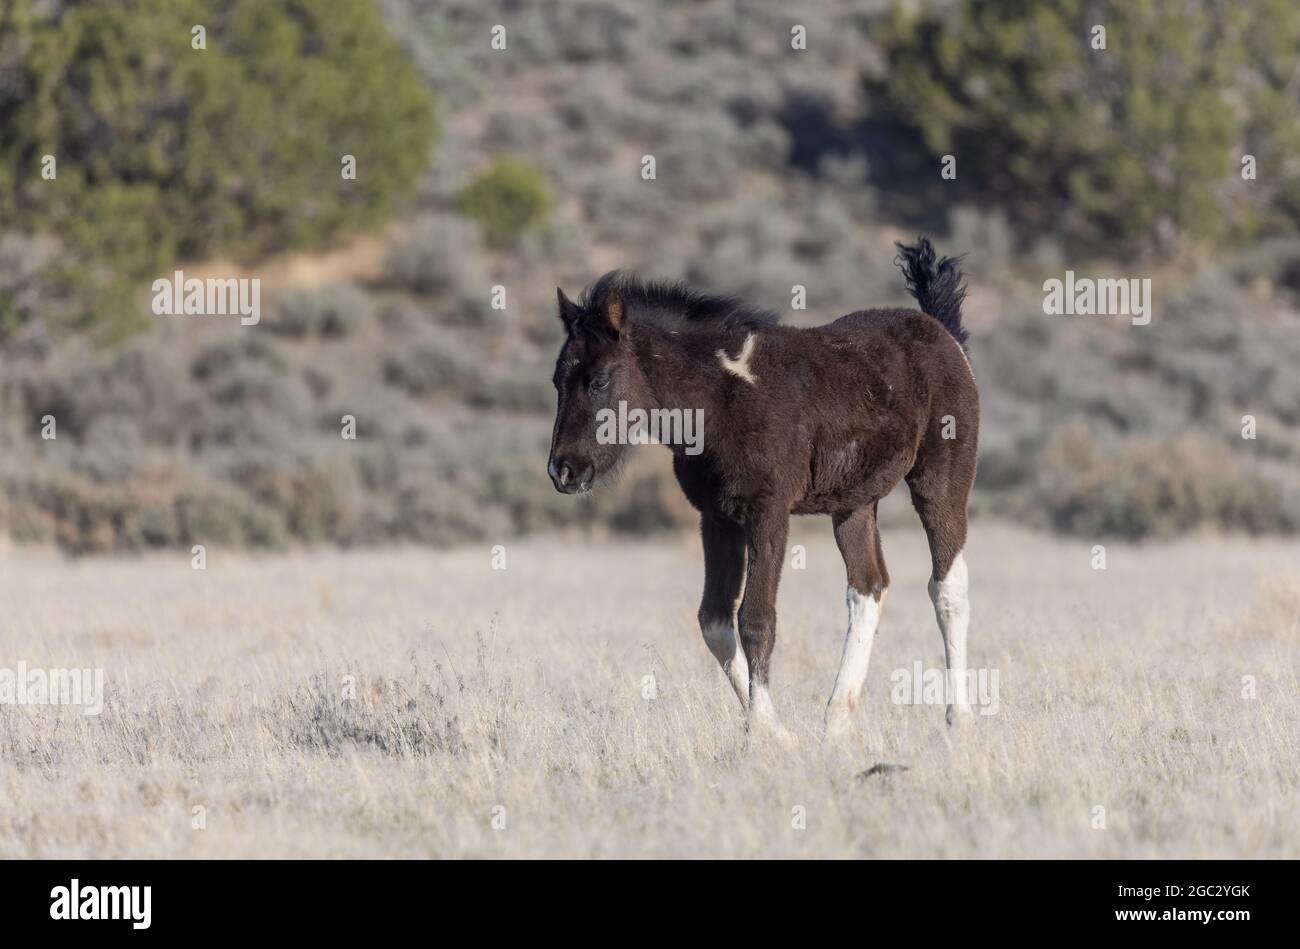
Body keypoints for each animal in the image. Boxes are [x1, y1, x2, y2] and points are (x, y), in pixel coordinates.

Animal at [547, 238, 978, 743]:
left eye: (598, 381)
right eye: (557, 381)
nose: (563, 471)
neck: (723, 399)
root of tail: (943, 333)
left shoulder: (768, 513)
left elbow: (756, 619)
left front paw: (766, 730)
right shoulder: (716, 517)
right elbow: (714, 621)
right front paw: (775, 727)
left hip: (940, 482)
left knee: (947, 588)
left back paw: (959, 718)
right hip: (854, 502)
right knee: (867, 588)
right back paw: (836, 721)